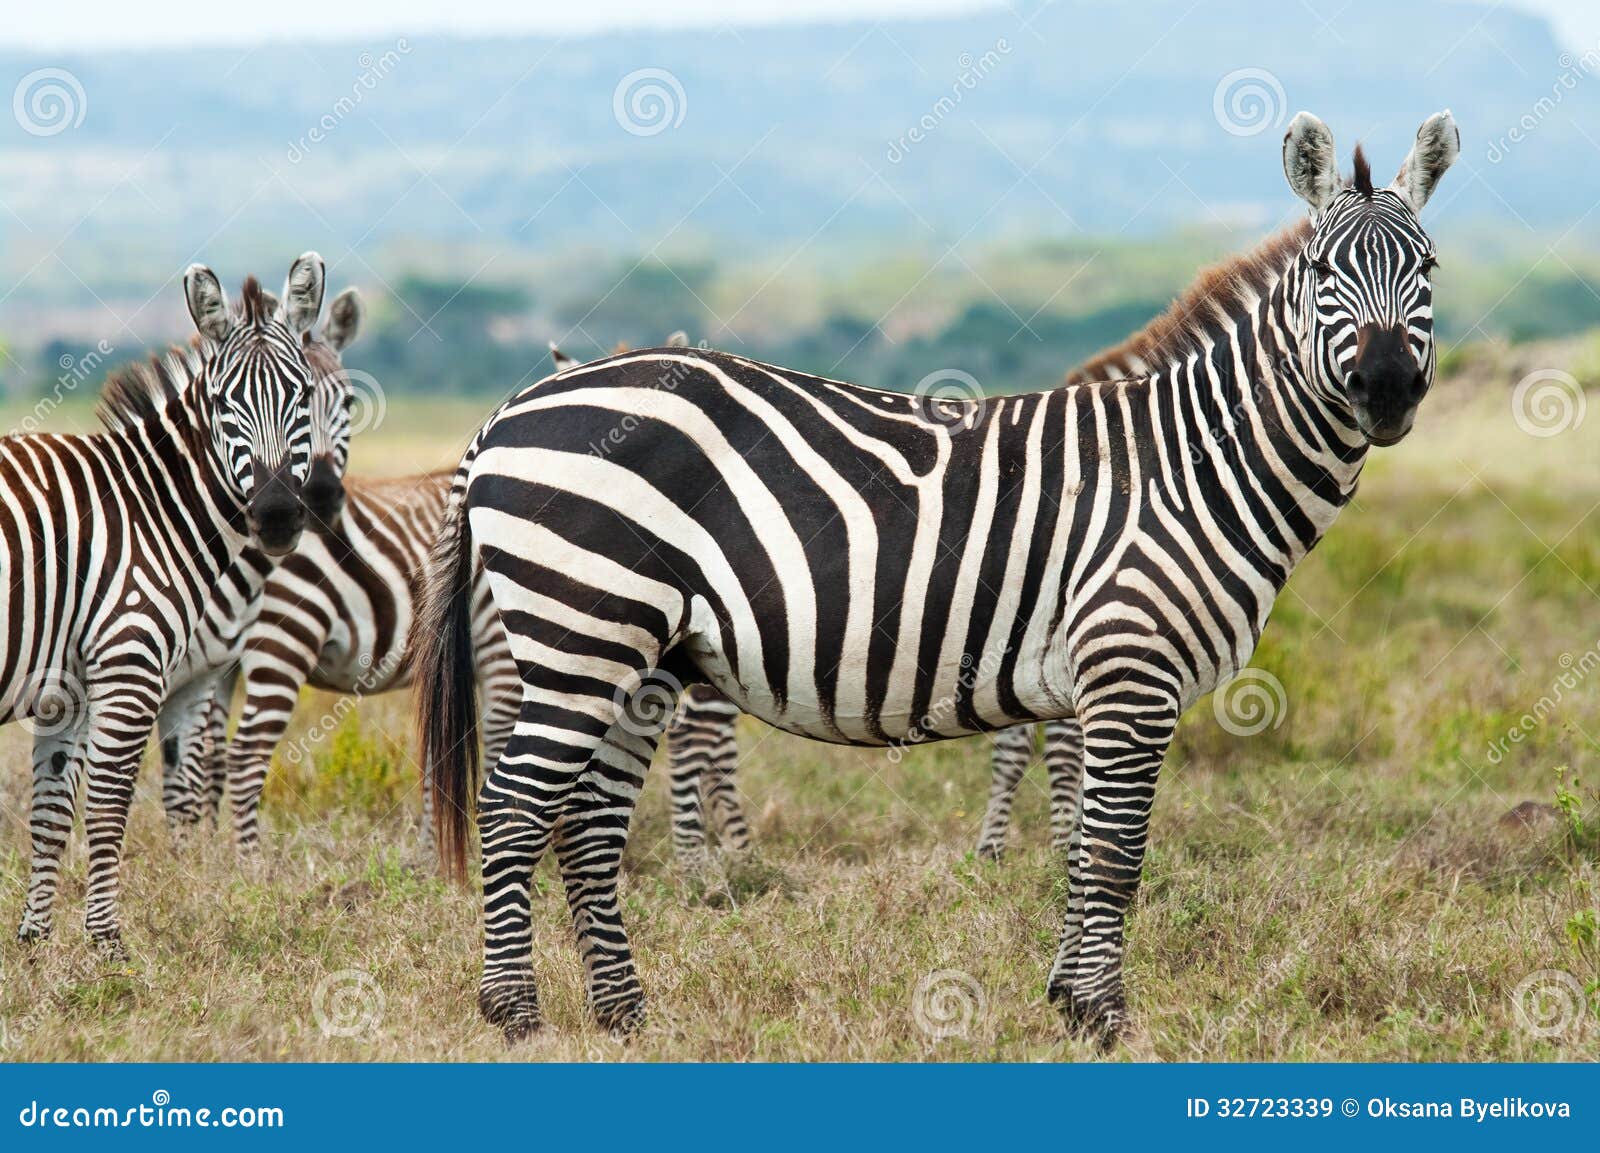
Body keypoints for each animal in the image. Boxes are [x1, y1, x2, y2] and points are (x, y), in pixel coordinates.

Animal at [4, 256, 323, 951]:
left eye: (304, 396)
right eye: (225, 404)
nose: (277, 515)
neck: (150, 505)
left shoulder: (68, 686)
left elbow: (51, 811)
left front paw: (35, 942)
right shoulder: (130, 665)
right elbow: (107, 805)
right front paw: (107, 944)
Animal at [417, 110, 1458, 1043]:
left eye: (1429, 270)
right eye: (1323, 274)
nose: (1386, 389)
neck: (1191, 462)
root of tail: (509, 408)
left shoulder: (1096, 682)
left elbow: (1083, 837)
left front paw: (1069, 1001)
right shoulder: (1131, 667)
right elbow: (1114, 849)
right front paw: (1107, 1019)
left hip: (645, 653)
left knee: (588, 822)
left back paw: (624, 1016)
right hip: (583, 629)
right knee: (514, 809)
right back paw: (516, 1014)